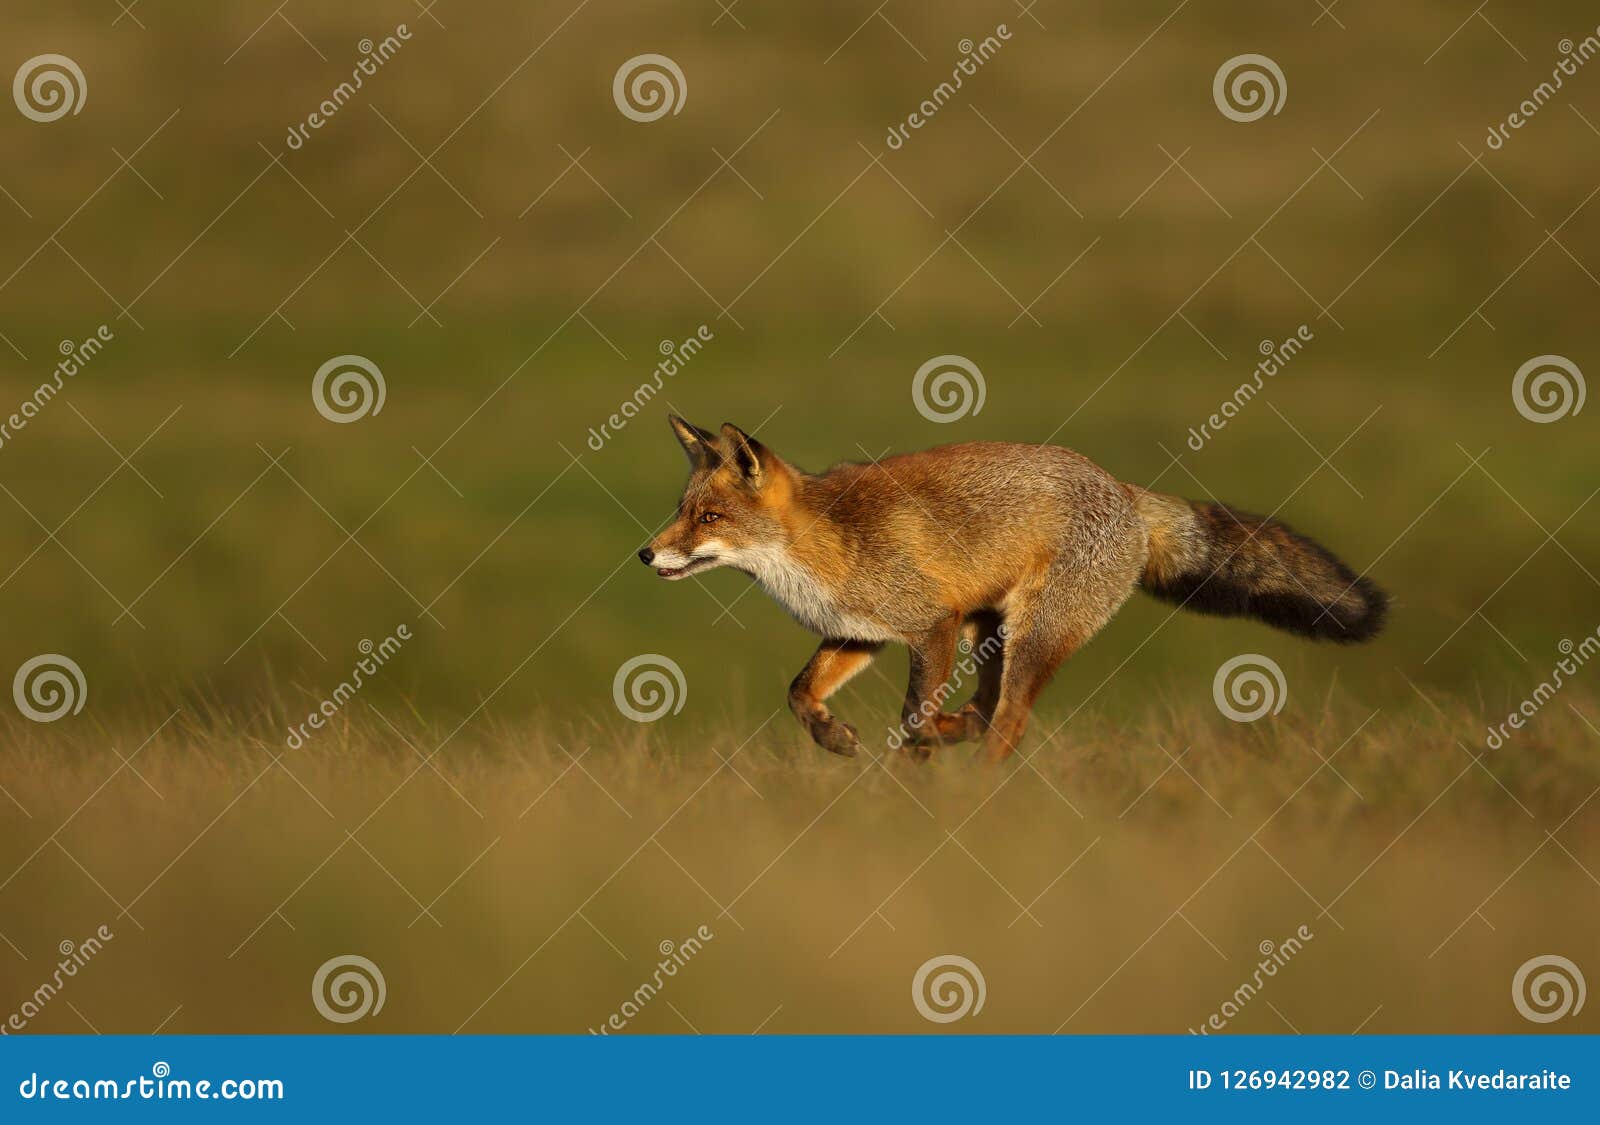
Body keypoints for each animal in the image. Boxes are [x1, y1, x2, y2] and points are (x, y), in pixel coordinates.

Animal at [640, 416, 1388, 763]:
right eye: (682, 508)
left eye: (709, 518)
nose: (646, 553)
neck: (823, 546)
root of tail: (1125, 491)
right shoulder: (861, 632)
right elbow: (798, 692)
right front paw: (834, 738)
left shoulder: (931, 621)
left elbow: (914, 713)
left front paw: (917, 752)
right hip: (989, 632)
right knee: (990, 709)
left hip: (1027, 634)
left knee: (1009, 721)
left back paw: (977, 784)